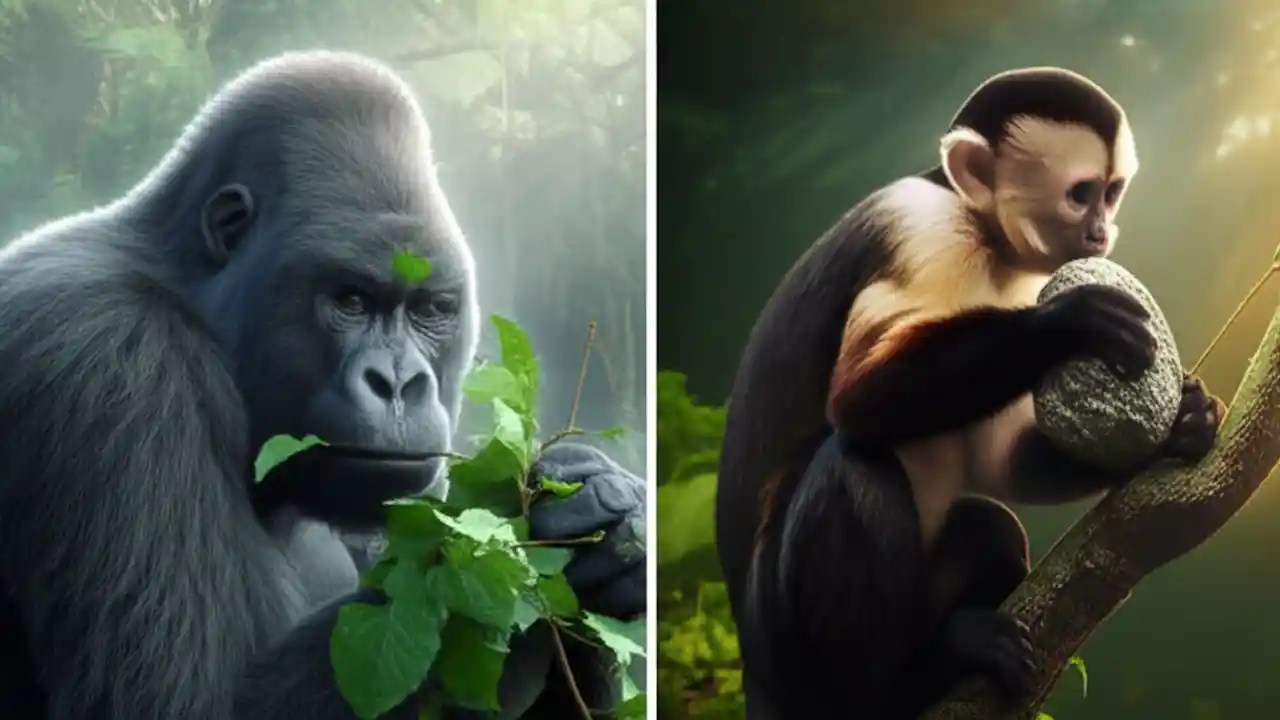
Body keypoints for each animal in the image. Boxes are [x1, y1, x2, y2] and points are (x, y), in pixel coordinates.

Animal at [714, 67, 1225, 719]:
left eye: (1111, 192)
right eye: (1081, 193)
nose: (1102, 231)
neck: (983, 233)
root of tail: (754, 676)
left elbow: (995, 459)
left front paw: (1184, 425)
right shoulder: (922, 230)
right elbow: (855, 400)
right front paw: (1069, 323)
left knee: (989, 527)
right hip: (783, 652)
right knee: (855, 470)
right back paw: (905, 685)